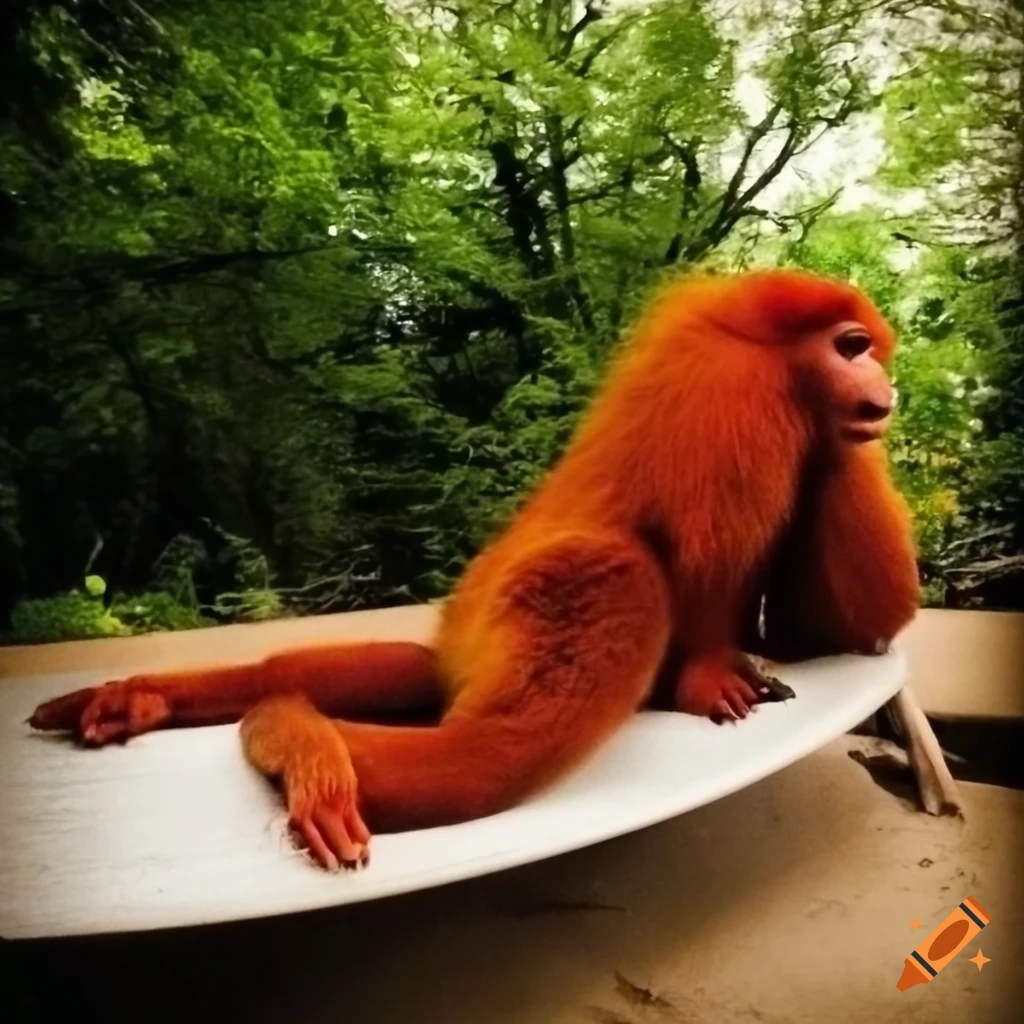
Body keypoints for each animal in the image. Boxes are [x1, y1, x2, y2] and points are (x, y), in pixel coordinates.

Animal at [30, 269, 921, 871]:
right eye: (851, 347)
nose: (886, 385)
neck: (784, 371)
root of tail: (464, 645)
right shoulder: (735, 394)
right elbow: (703, 560)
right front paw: (707, 677)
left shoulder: (822, 431)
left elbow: (835, 629)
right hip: (537, 599)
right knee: (542, 677)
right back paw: (295, 737)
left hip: (471, 643)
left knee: (366, 672)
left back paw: (160, 700)